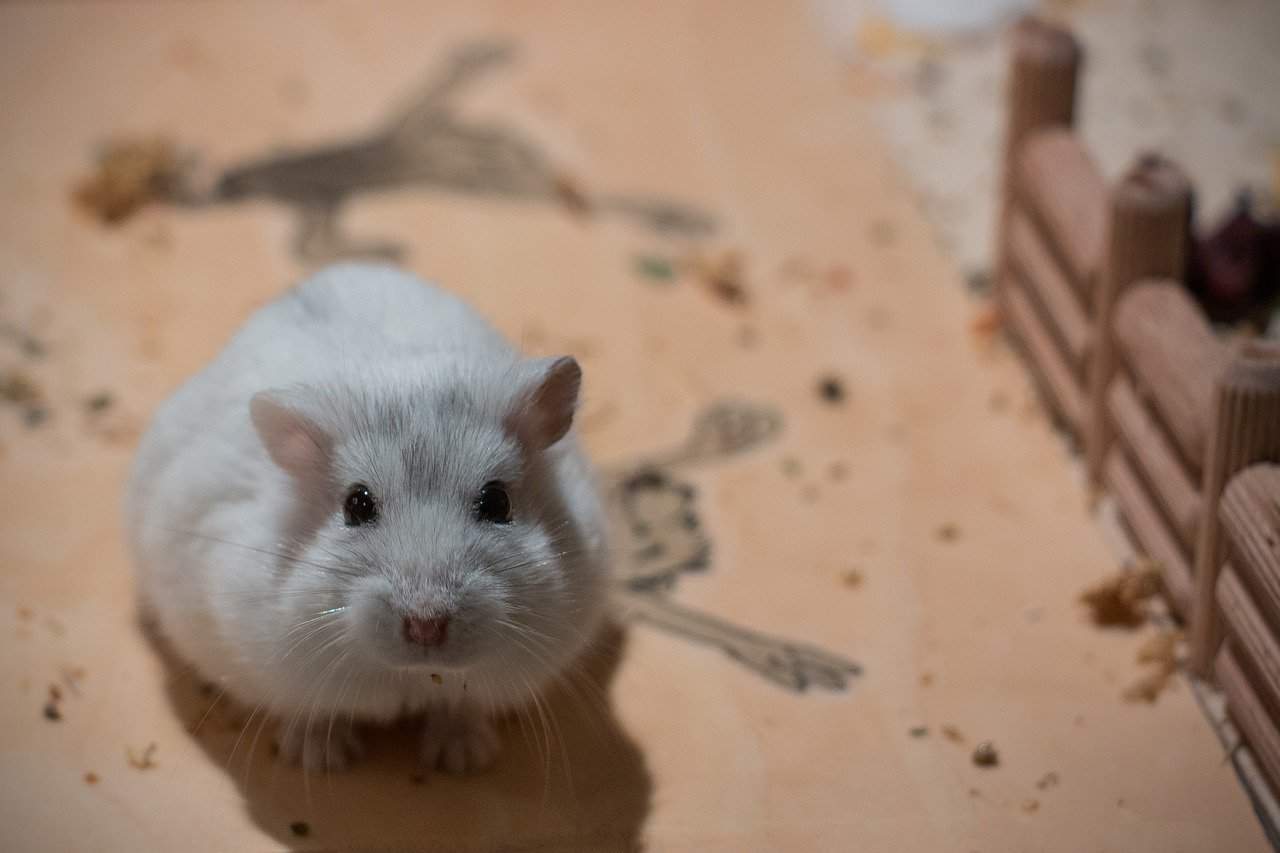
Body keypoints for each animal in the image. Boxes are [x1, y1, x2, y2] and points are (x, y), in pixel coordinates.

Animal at [126, 263, 610, 774]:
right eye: (357, 505)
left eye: (497, 503)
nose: (426, 625)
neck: (413, 675)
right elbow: (313, 713)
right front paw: (321, 762)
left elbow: (459, 707)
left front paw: (460, 760)